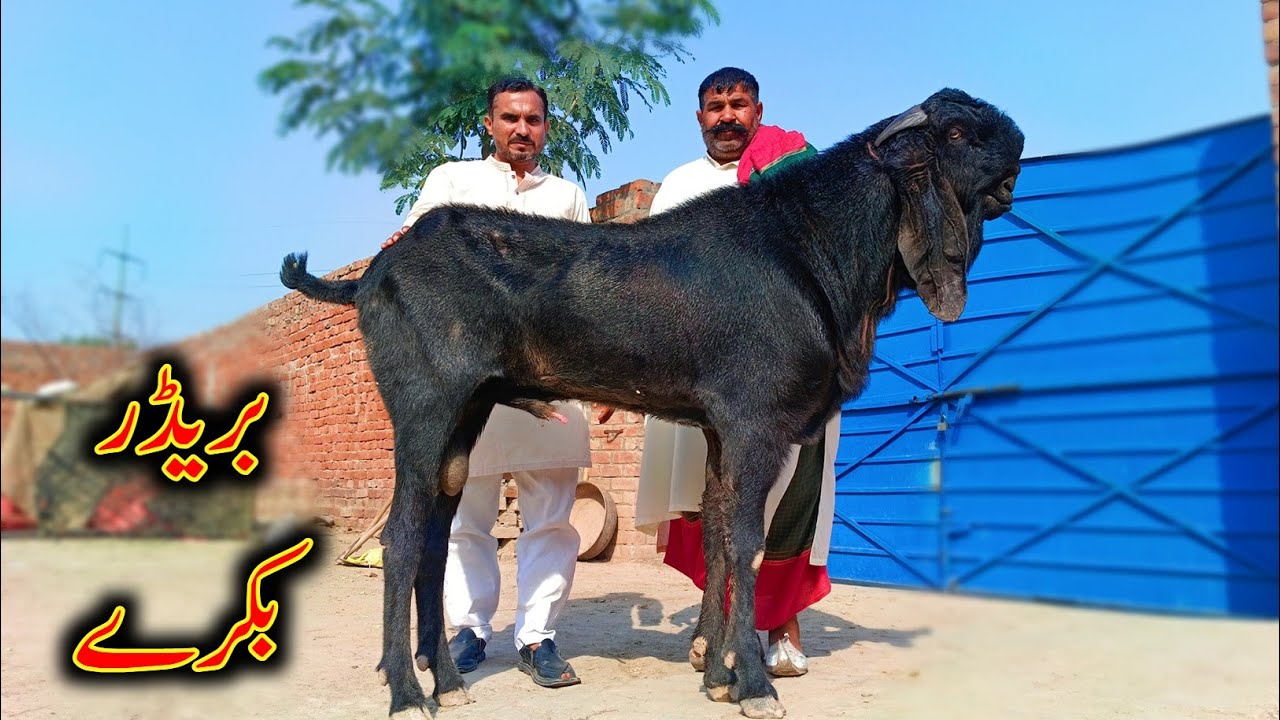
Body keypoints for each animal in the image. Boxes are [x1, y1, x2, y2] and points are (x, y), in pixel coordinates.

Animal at [280, 87, 1024, 719]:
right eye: (958, 132)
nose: (1018, 140)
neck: (810, 248)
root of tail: (374, 274)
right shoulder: (757, 422)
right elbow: (747, 542)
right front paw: (754, 685)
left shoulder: (723, 430)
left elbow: (719, 535)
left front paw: (718, 674)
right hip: (426, 407)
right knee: (403, 537)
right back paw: (408, 693)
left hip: (466, 416)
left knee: (436, 538)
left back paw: (448, 682)